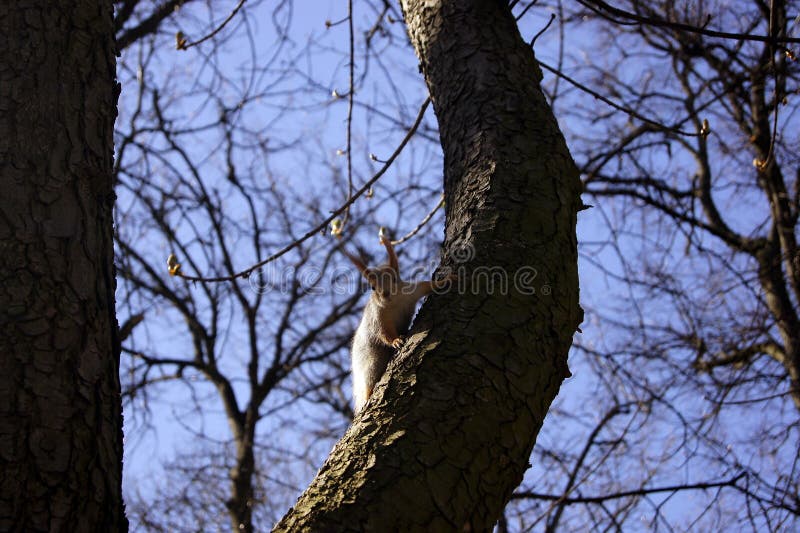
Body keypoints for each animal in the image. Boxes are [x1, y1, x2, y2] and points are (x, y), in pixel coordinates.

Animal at [343, 234, 453, 414]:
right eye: (372, 287)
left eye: (394, 279)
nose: (385, 295)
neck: (393, 303)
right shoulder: (377, 318)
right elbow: (383, 333)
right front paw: (396, 341)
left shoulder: (413, 291)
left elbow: (428, 286)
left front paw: (448, 280)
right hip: (372, 362)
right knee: (369, 383)